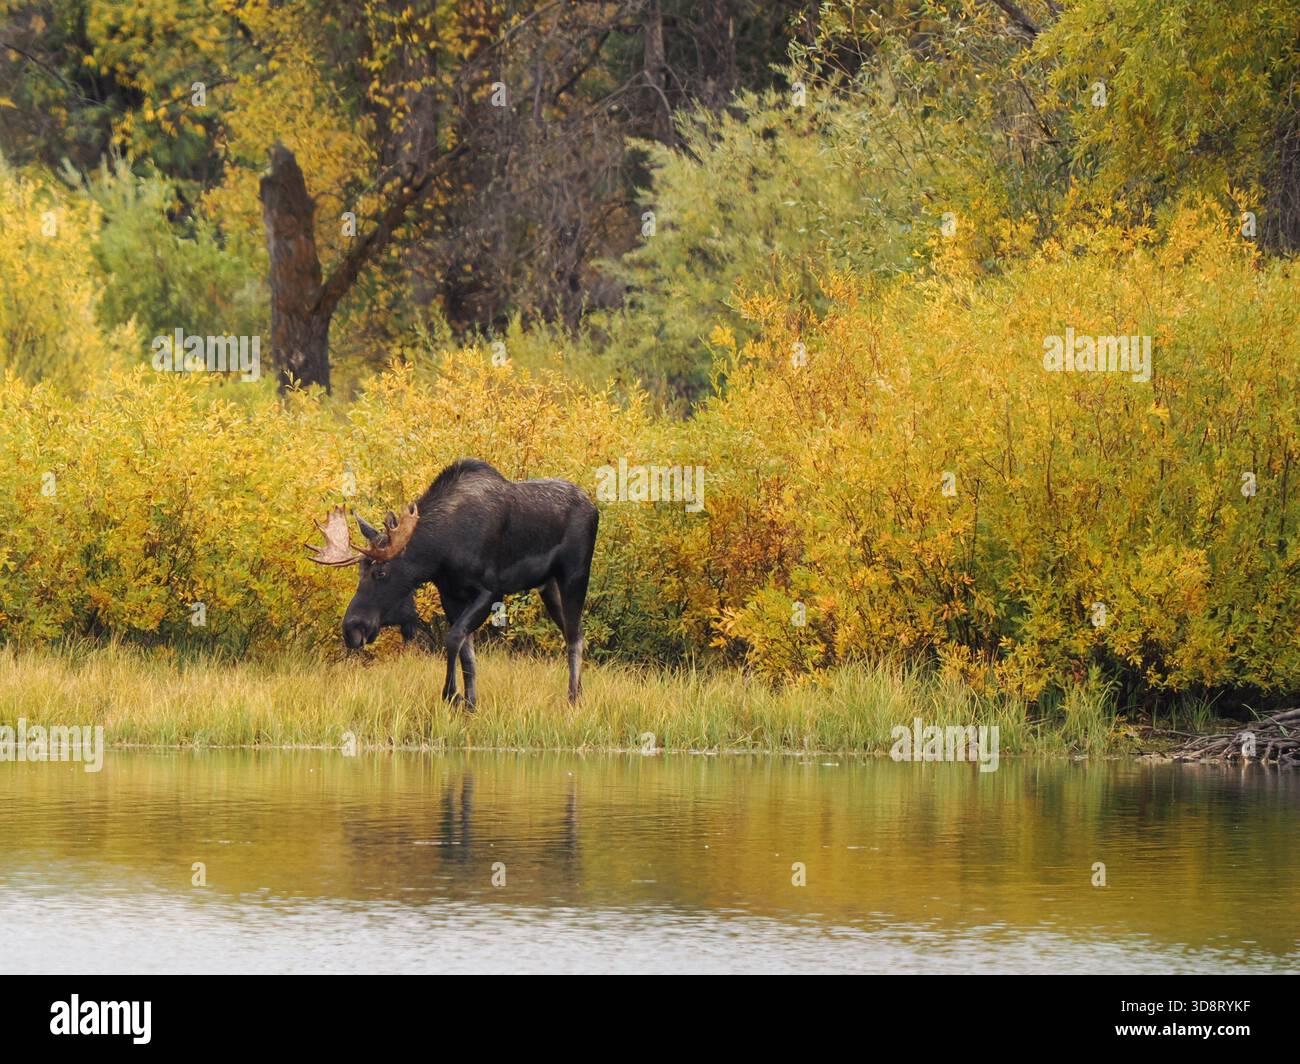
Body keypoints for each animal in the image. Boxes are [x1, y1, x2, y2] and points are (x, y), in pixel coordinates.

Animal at [306, 459, 598, 708]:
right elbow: (467, 654)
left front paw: (451, 695)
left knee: (574, 636)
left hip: (574, 576)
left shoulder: (490, 592)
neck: (442, 551)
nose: (351, 629)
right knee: (576, 632)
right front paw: (470, 704)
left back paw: (573, 698)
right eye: (360, 570)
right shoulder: (450, 594)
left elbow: (453, 638)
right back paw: (579, 692)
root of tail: (594, 507)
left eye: (381, 572)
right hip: (548, 587)